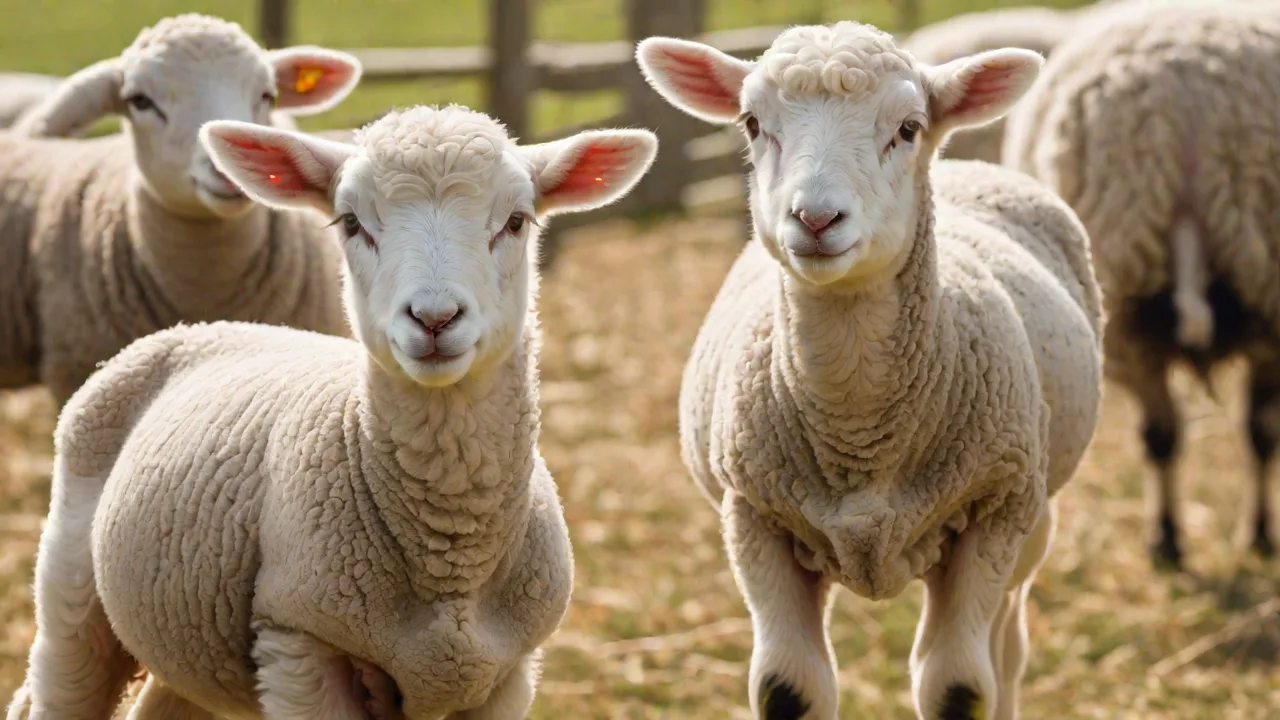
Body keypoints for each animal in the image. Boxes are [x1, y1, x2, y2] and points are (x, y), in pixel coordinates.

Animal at [5, 104, 659, 720]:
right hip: (72, 599)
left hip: (185, 645)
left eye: (517, 221)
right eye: (350, 223)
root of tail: (198, 326)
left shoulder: (507, 673)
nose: (434, 319)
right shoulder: (301, 642)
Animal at [636, 20, 1103, 720]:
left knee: (1006, 651)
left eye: (908, 128)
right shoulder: (754, 519)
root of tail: (962, 161)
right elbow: (788, 688)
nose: (815, 219)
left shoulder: (994, 512)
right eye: (752, 123)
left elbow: (960, 688)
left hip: (1033, 519)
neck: (859, 426)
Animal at [1002, 0, 1280, 570]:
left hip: (1132, 301)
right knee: (1179, 433)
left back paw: (1172, 538)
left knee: (1170, 434)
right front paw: (1257, 533)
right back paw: (1173, 537)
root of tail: (1192, 111)